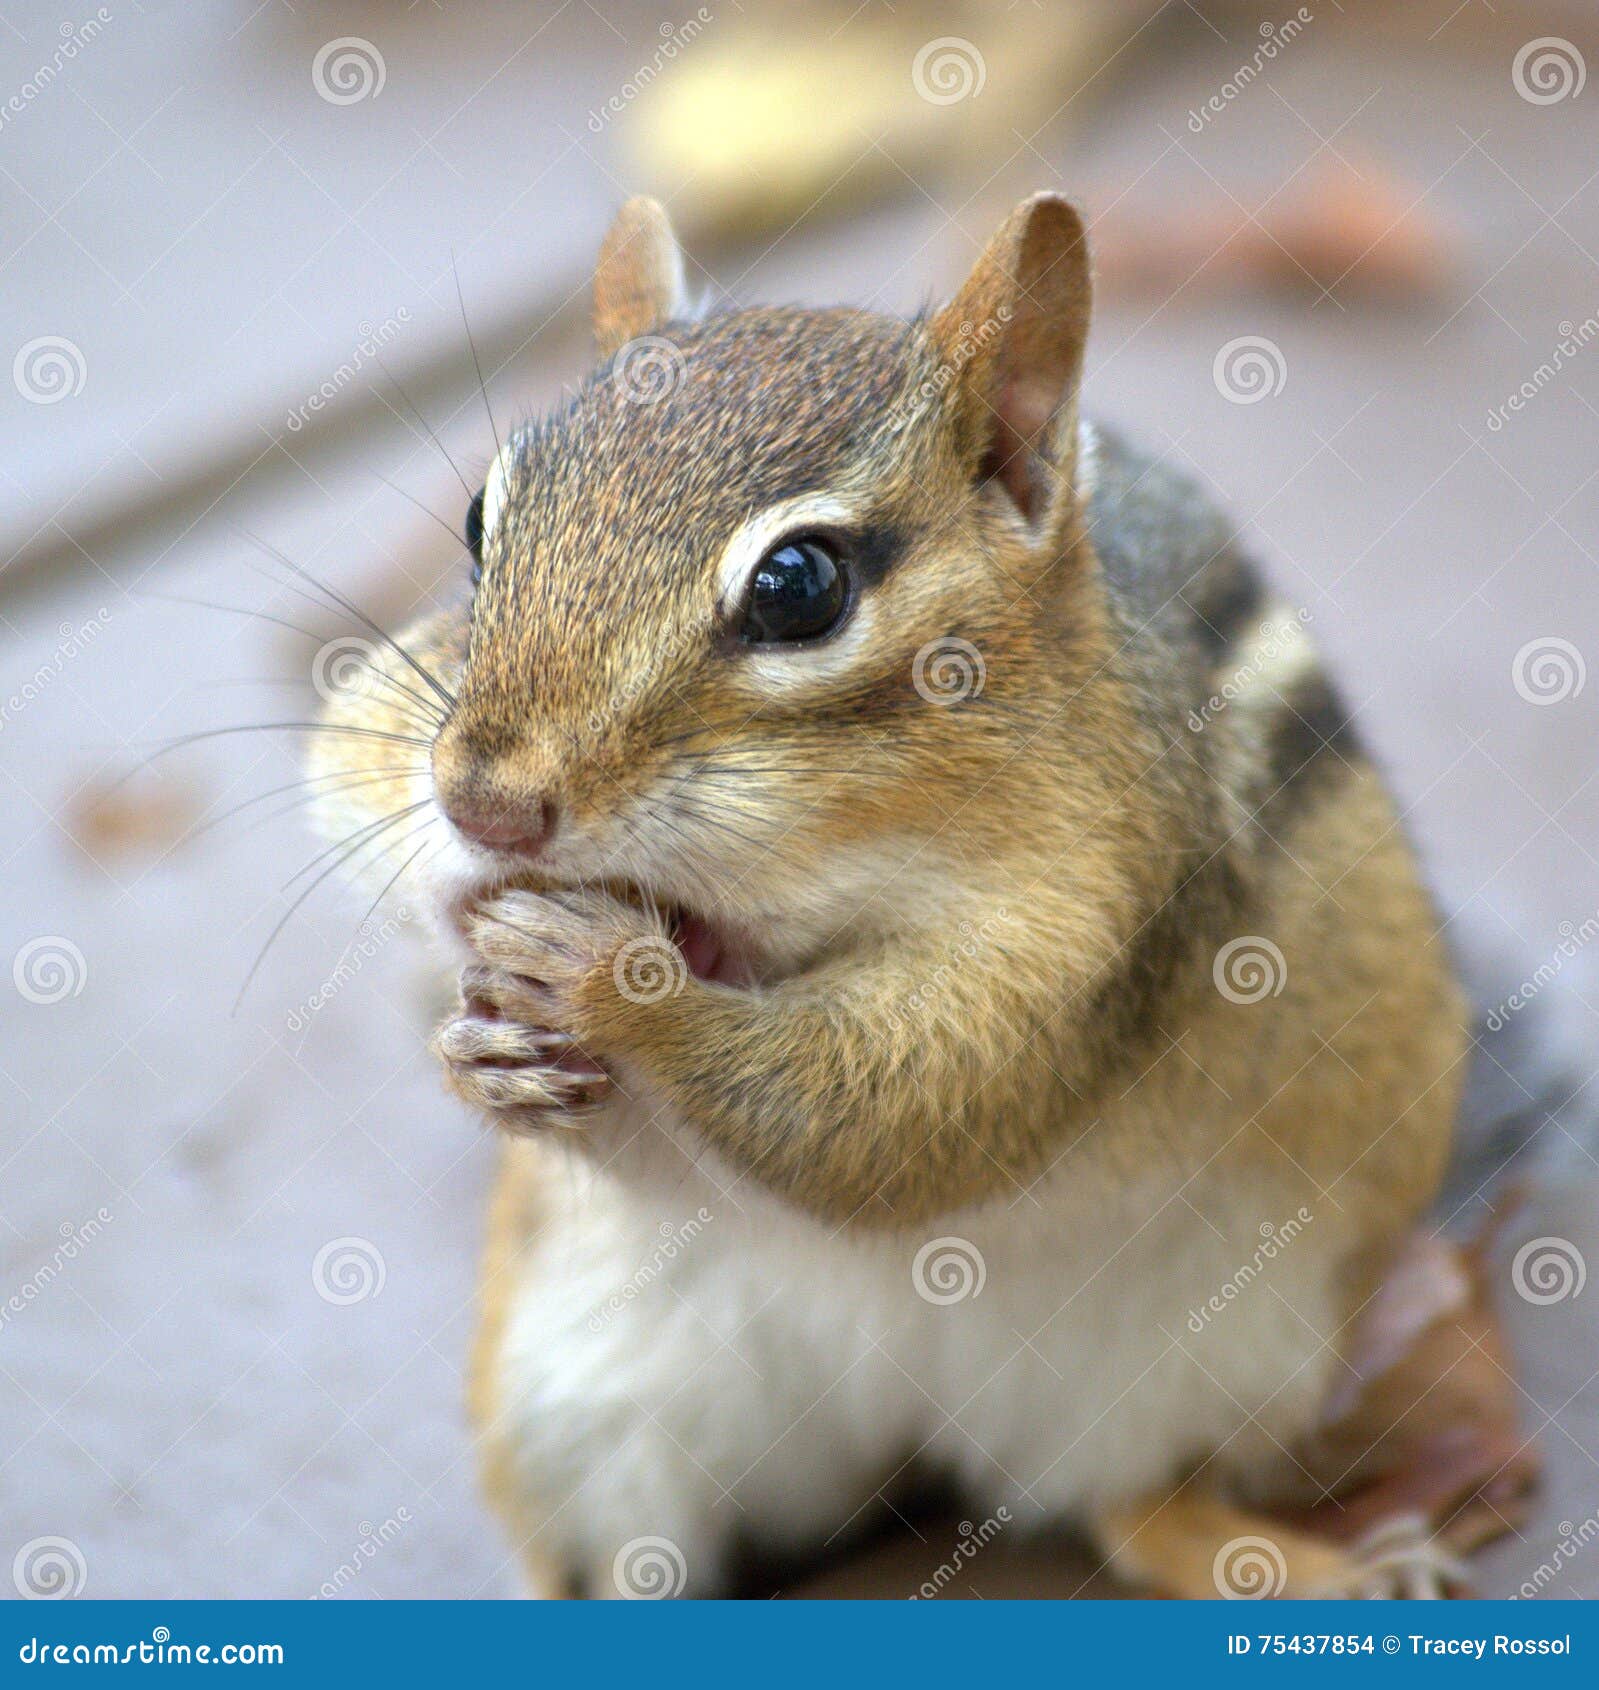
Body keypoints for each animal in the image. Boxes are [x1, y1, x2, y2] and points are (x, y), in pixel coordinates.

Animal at [309, 194, 1499, 1599]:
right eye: (478, 525)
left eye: (800, 585)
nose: (485, 804)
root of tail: (918, 1428)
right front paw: (475, 1042)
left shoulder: (1092, 931)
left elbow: (909, 1103)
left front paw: (618, 981)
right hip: (580, 1398)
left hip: (1217, 1352)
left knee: (1138, 1505)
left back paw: (1330, 1563)